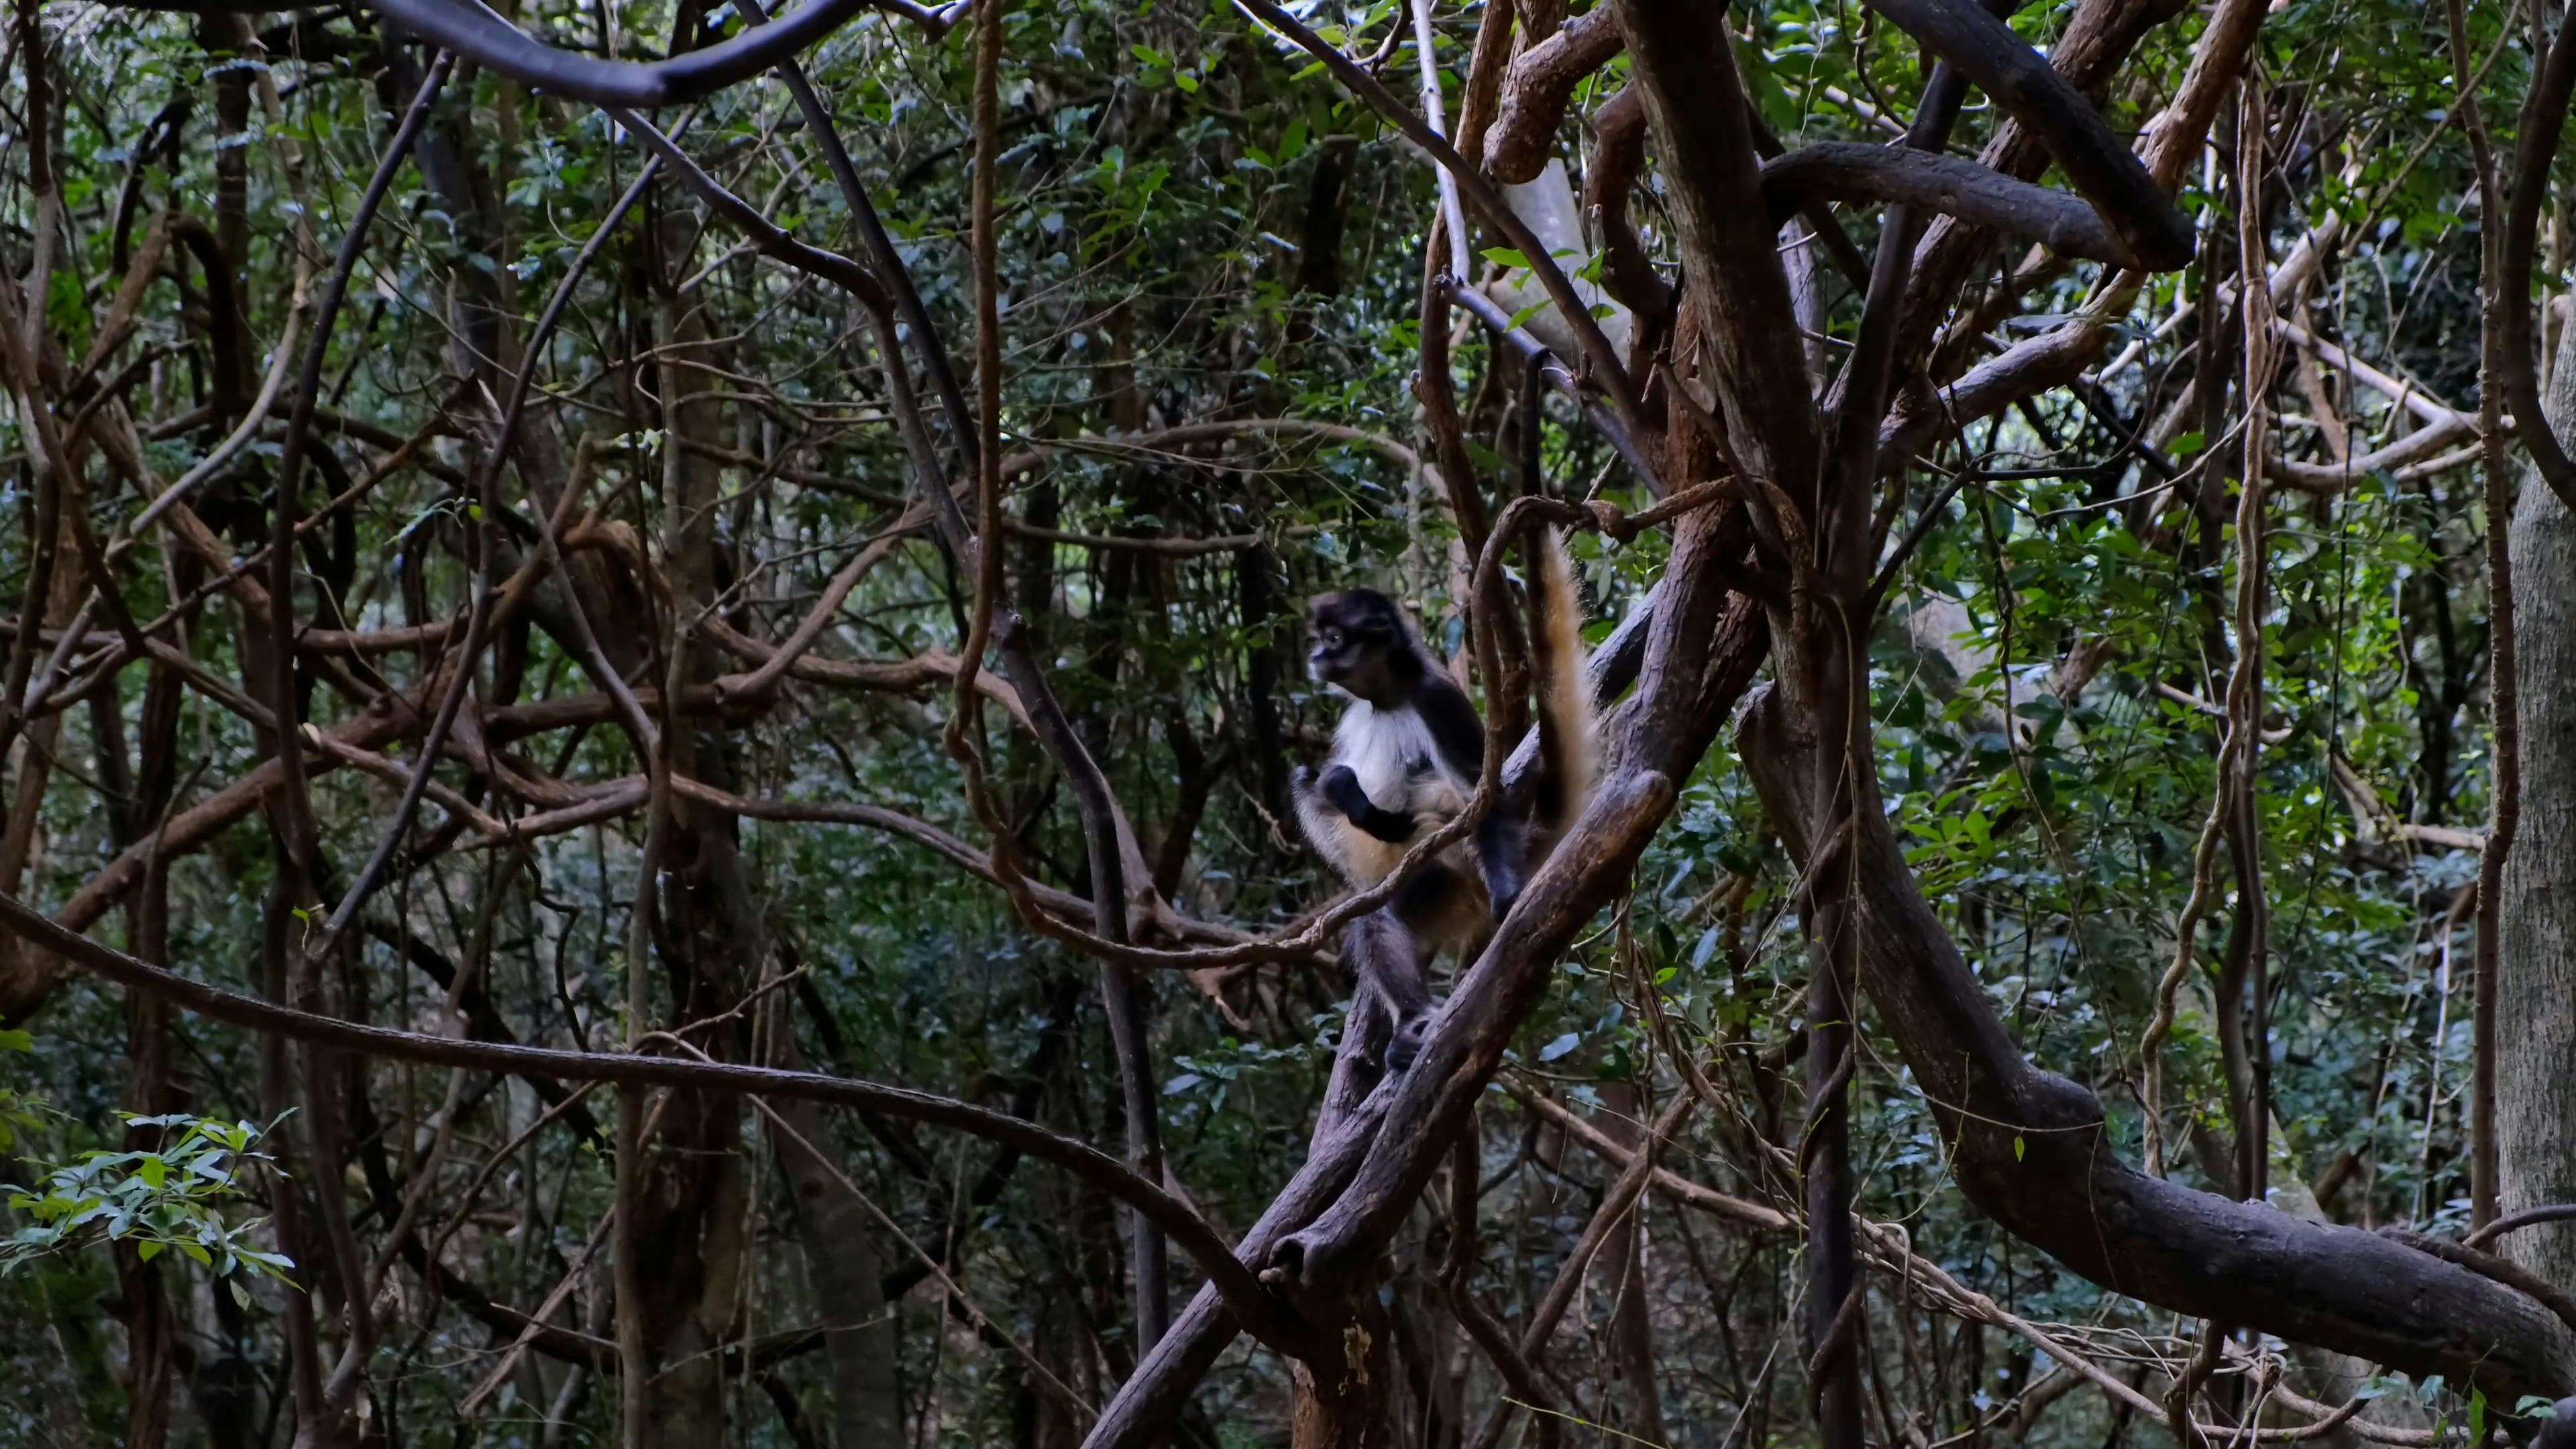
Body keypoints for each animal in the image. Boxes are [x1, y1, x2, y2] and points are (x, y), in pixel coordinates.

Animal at [1292, 529, 1595, 1069]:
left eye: (1334, 639)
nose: (1316, 655)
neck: (1387, 699)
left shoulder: (1438, 698)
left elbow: (1483, 802)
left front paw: (1509, 898)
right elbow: (1324, 782)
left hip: (1452, 879)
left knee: (1381, 907)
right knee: (1308, 782)